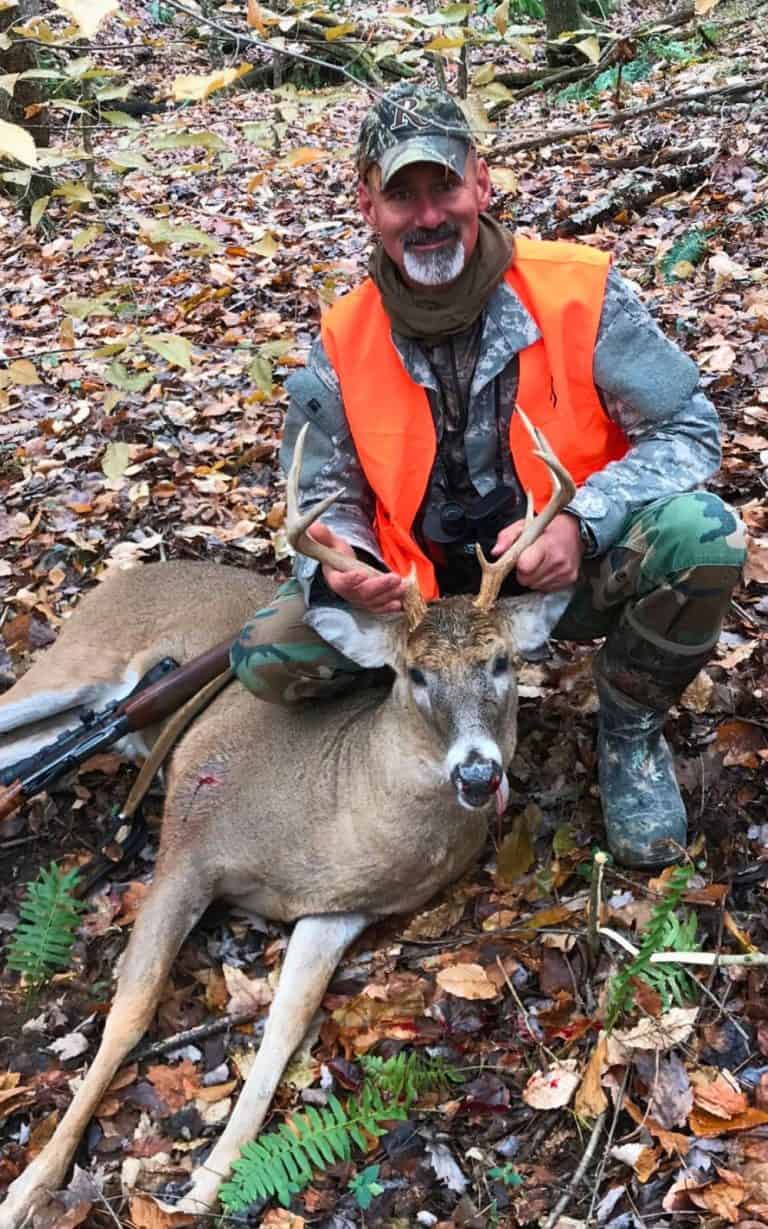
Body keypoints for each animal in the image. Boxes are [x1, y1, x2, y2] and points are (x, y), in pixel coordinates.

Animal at [0, 413, 574, 1227]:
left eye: (500, 662)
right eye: (414, 673)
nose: (476, 773)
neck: (328, 809)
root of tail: (124, 573)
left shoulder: (338, 910)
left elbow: (282, 1029)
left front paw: (207, 1181)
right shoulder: (189, 843)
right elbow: (130, 1010)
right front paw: (30, 1185)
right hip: (73, 663)